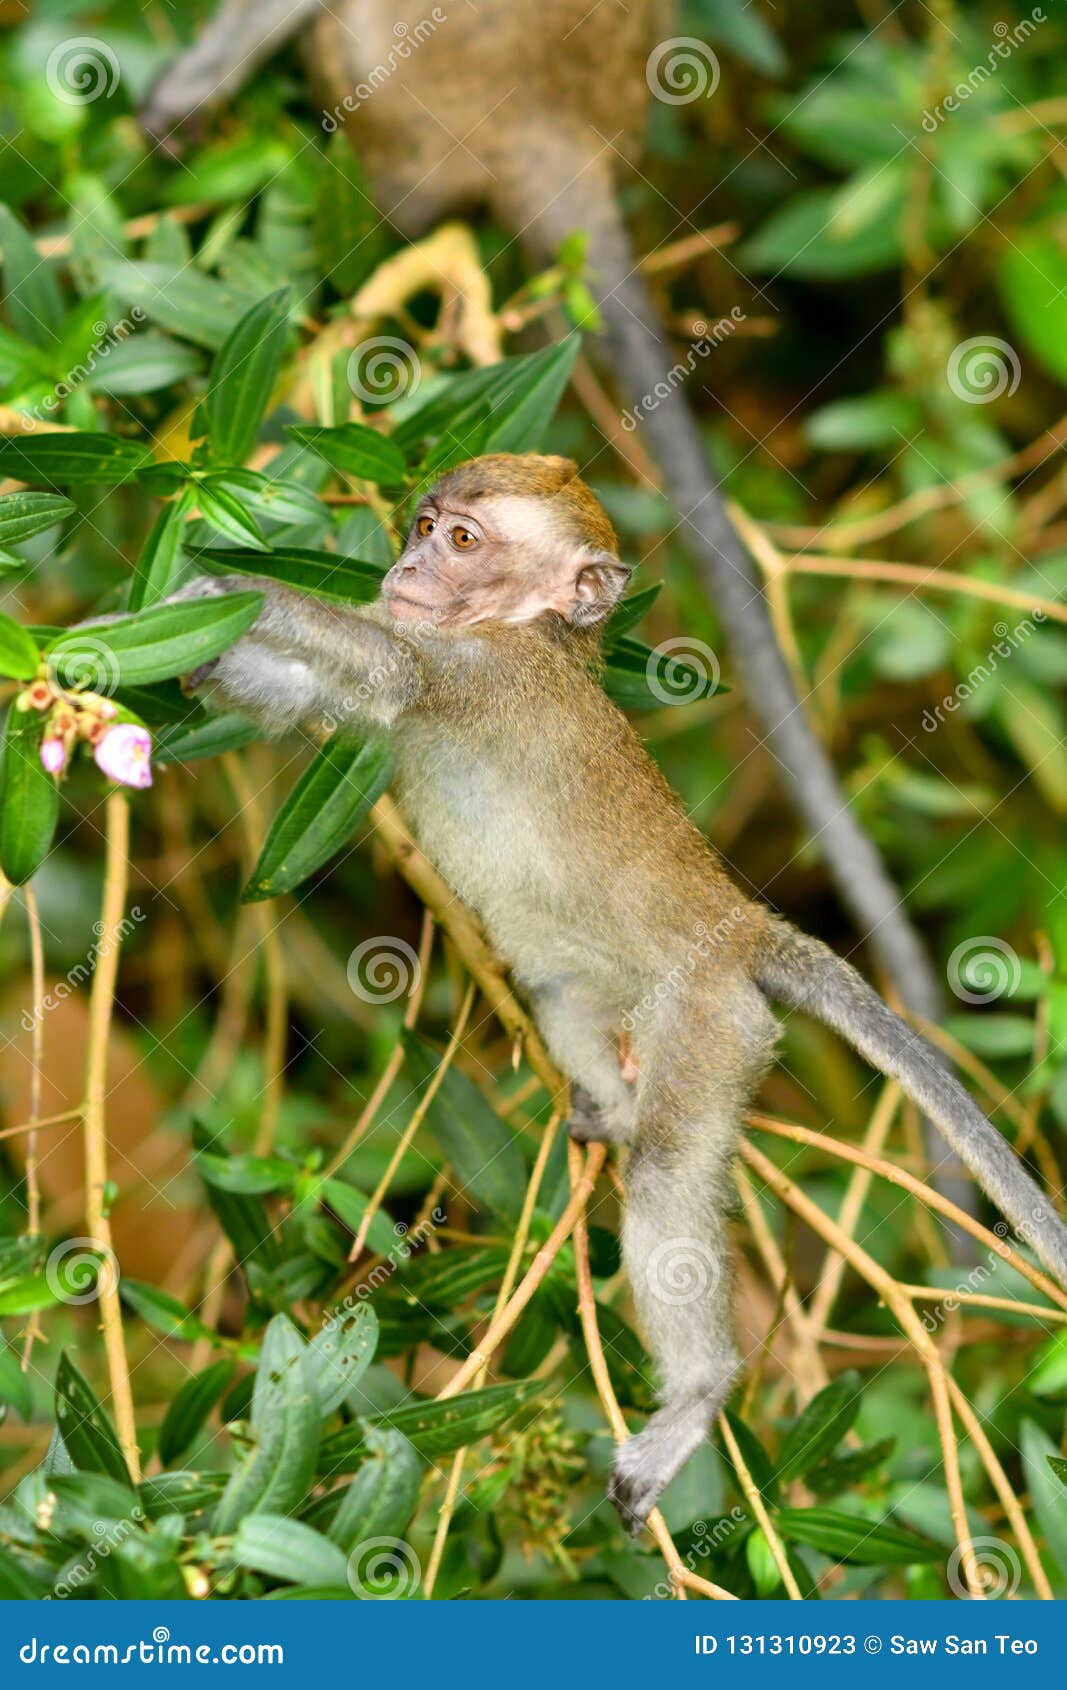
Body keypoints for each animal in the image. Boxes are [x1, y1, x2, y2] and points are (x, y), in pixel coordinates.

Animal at [165, 453, 1067, 1531]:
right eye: (424, 524)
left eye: (461, 540)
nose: (406, 562)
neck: (528, 630)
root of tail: (740, 923)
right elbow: (310, 689)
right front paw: (196, 657)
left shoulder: (487, 676)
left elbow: (383, 668)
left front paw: (223, 595)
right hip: (611, 984)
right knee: (559, 991)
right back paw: (607, 1106)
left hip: (710, 1017)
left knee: (671, 1171)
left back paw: (698, 1392)